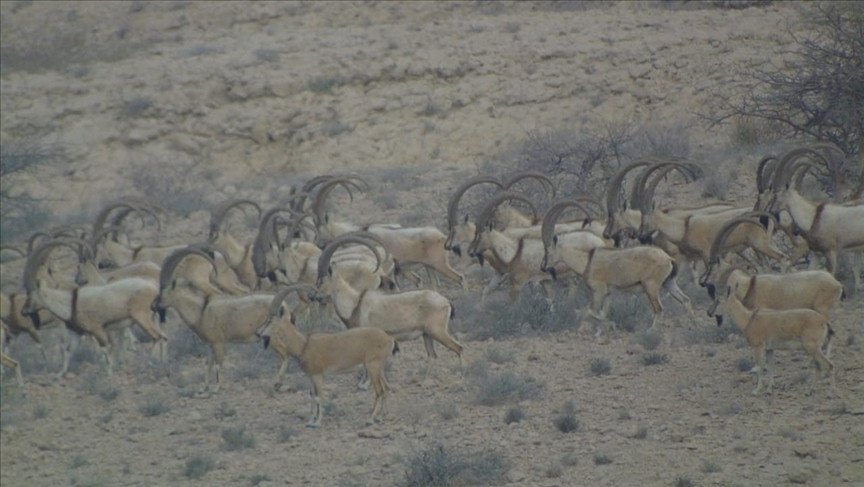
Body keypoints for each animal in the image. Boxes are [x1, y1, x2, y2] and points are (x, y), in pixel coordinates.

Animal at [257, 285, 398, 427]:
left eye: (270, 320)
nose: (258, 333)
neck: (303, 345)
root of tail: (388, 339)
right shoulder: (310, 376)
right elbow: (312, 396)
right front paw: (310, 421)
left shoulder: (318, 375)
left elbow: (319, 396)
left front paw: (317, 422)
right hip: (378, 368)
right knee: (386, 387)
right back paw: (382, 415)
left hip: (372, 366)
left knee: (379, 390)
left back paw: (370, 419)